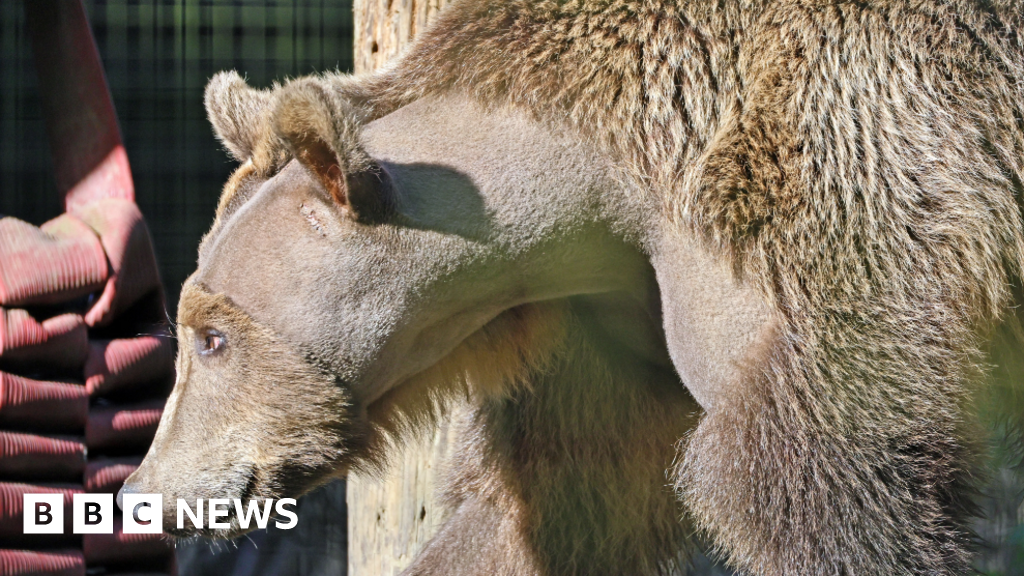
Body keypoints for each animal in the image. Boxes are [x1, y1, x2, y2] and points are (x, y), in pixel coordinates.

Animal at [122, 1, 1024, 575]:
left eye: (211, 336)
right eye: (189, 329)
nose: (146, 491)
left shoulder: (830, 216)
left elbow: (829, 489)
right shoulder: (616, 334)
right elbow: (550, 505)